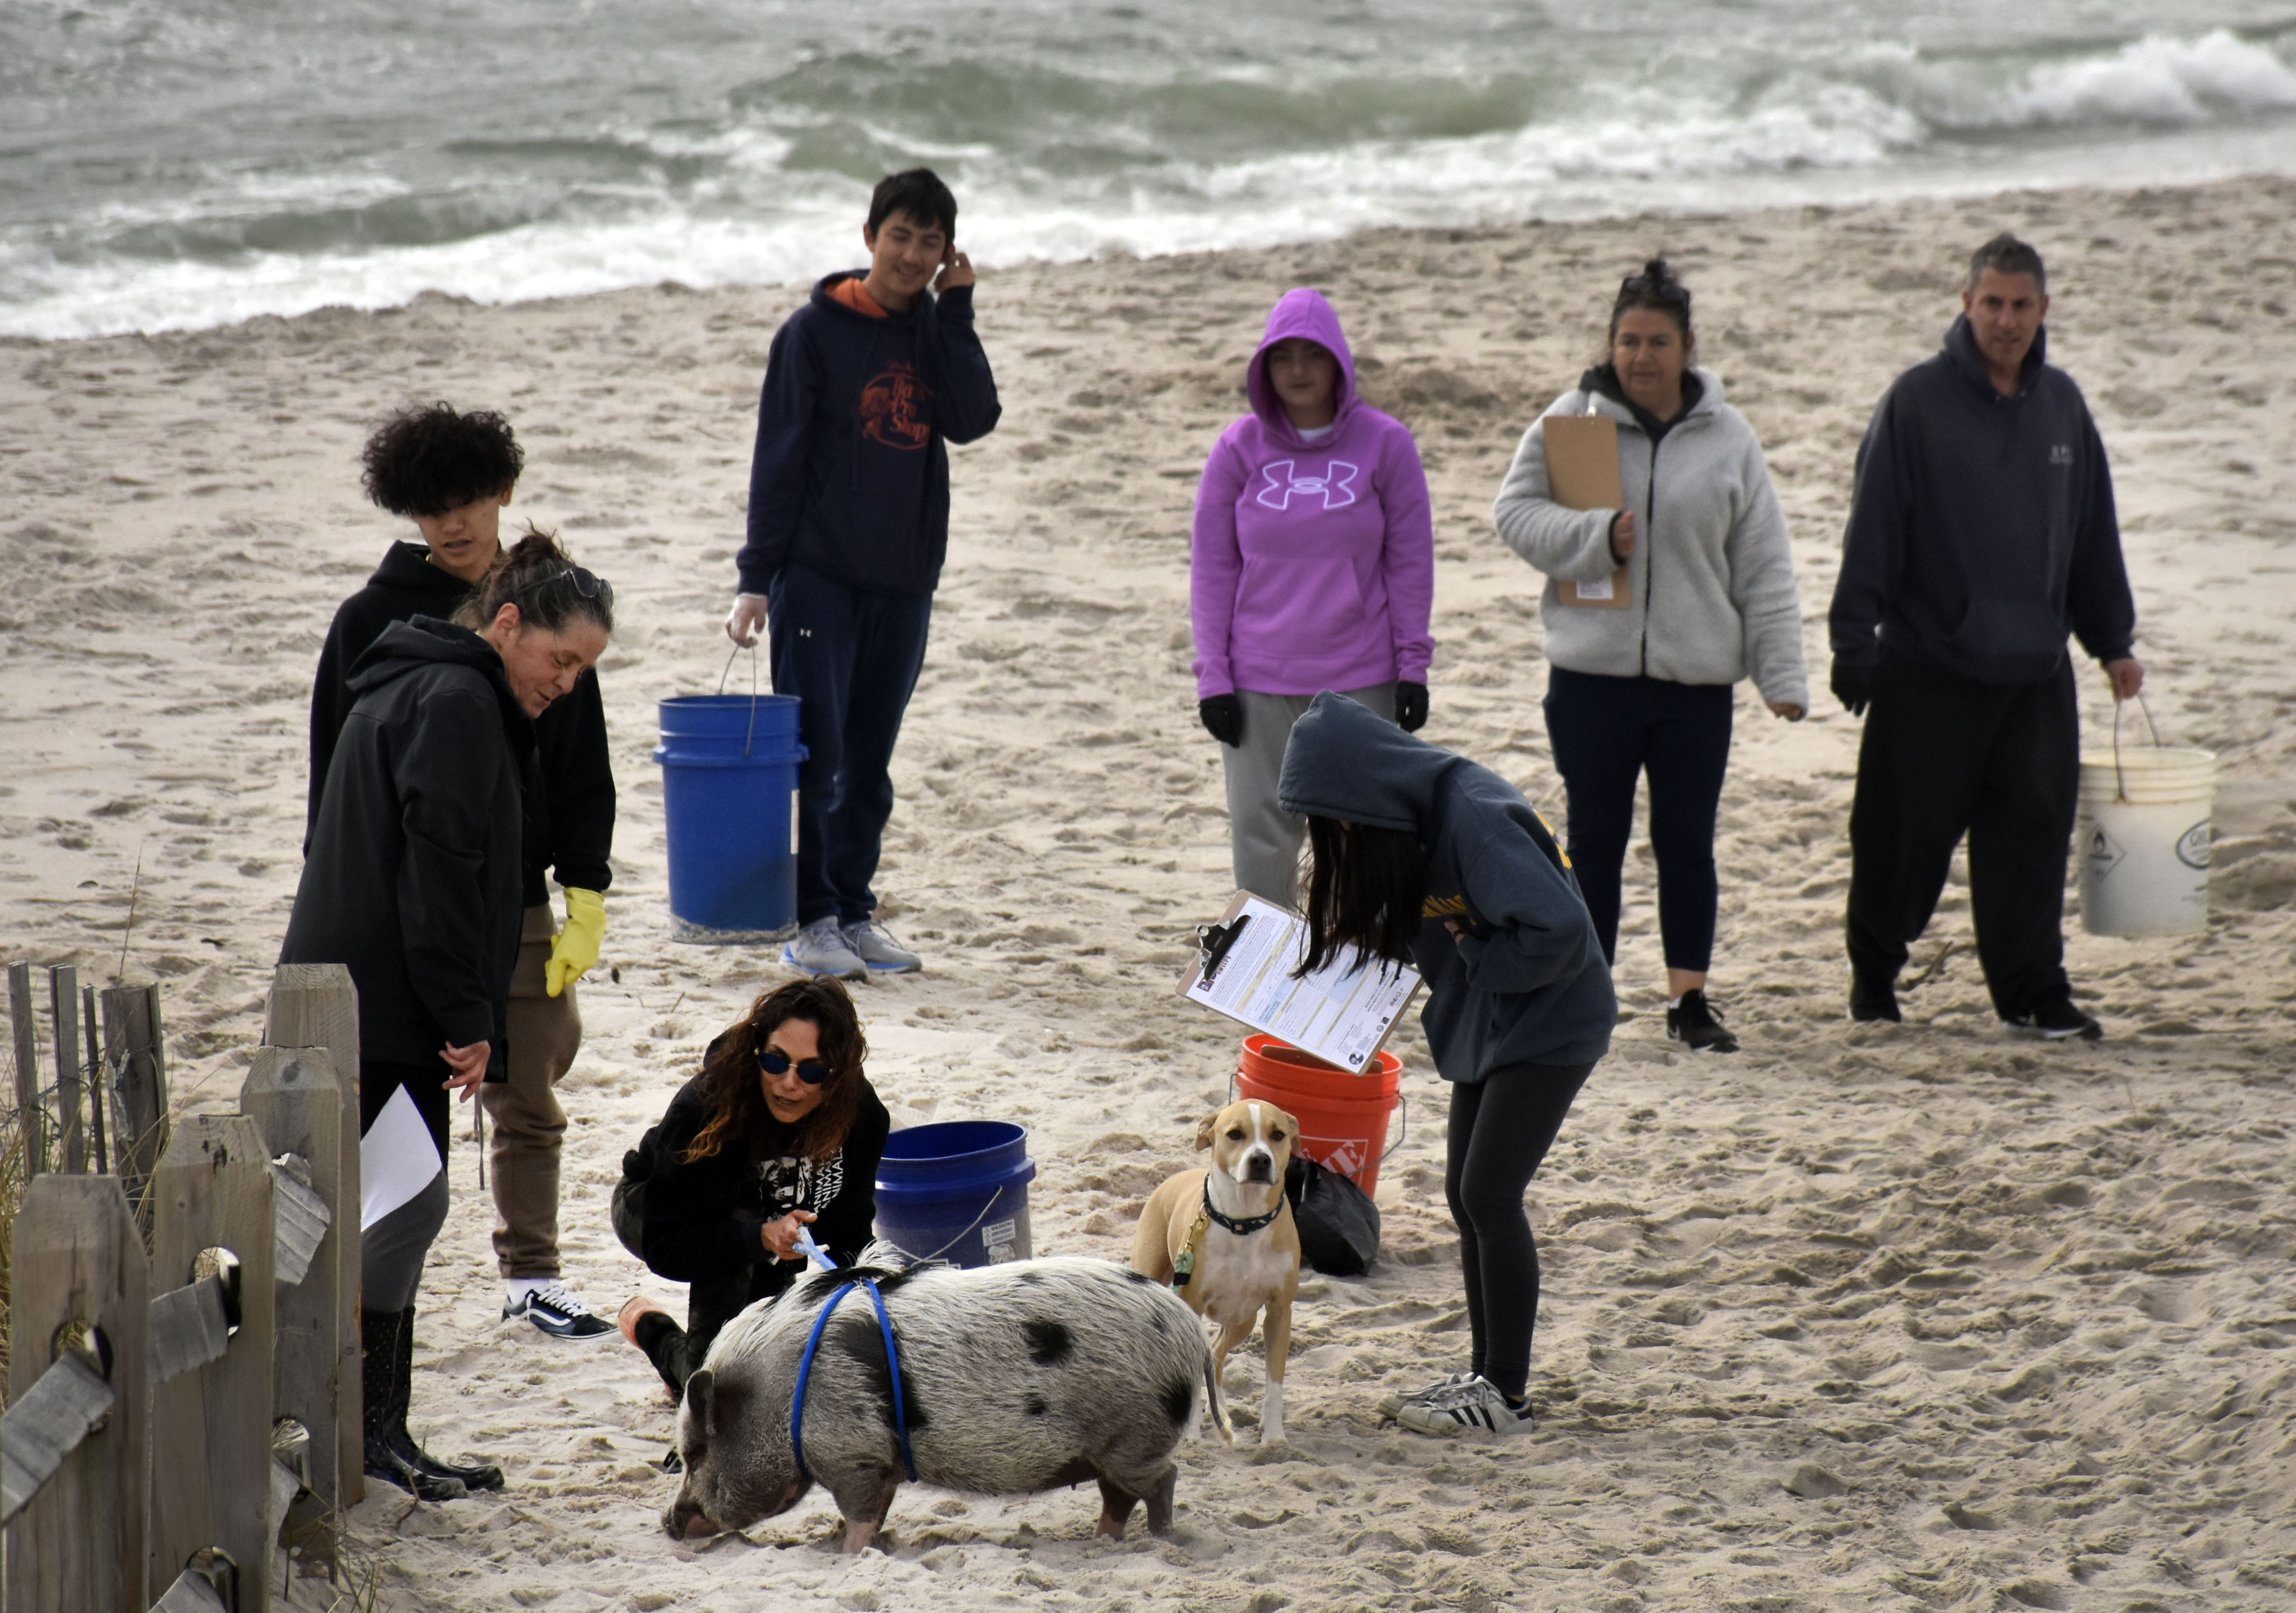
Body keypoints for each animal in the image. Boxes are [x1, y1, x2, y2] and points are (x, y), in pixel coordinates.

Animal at [663, 1255, 1225, 1552]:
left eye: (694, 1454)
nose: (668, 1523)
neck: (778, 1395)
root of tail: (1192, 1333)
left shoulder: (853, 1455)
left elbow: (860, 1513)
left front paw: (848, 1552)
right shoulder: (879, 1461)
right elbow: (875, 1511)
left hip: (1134, 1435)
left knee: (1162, 1480)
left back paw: (1161, 1540)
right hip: (1115, 1446)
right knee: (1120, 1495)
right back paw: (1101, 1540)